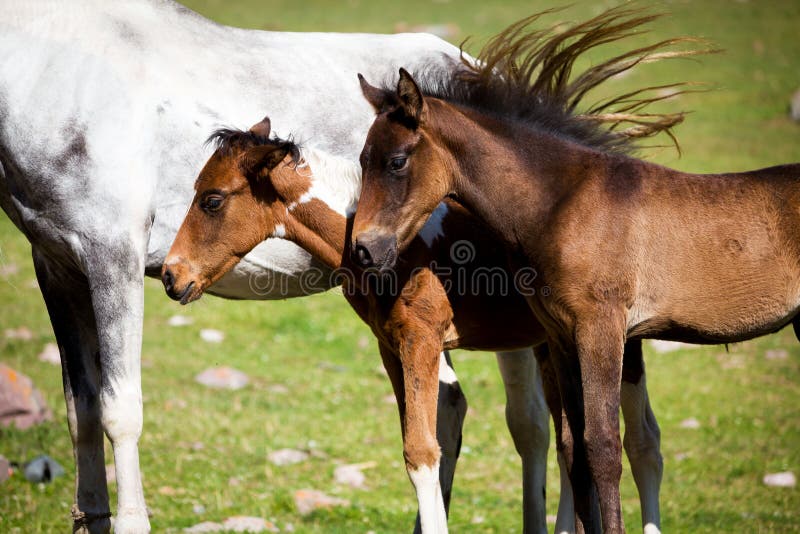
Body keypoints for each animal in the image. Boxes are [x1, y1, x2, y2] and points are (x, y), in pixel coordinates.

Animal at [0, 1, 536, 532]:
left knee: (527, 421)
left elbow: (120, 410)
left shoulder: (113, 255)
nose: (174, 273)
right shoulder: (57, 266)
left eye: (213, 200)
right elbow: (83, 411)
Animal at [162, 115, 664, 533]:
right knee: (567, 446)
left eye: (212, 200)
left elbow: (422, 452)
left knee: (643, 444)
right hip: (553, 345)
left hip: (617, 344)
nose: (171, 275)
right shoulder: (390, 347)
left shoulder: (422, 339)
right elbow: (422, 446)